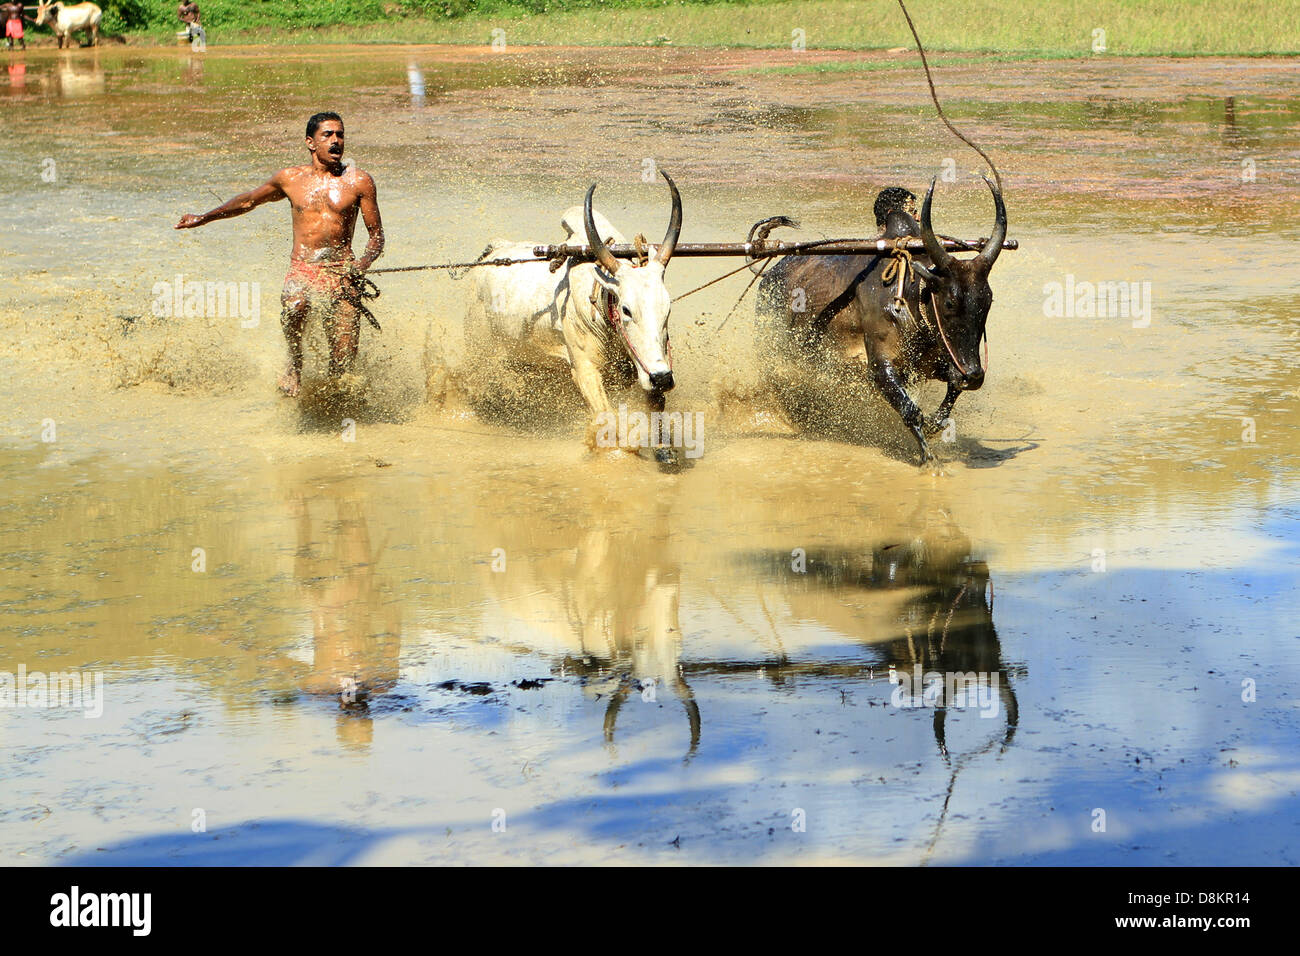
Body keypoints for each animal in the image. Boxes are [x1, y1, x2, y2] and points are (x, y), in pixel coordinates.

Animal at [466, 171, 683, 463]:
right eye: (626, 309)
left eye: (666, 308)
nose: (662, 378)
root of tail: (491, 253)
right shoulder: (585, 369)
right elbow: (607, 416)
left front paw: (664, 450)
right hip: (478, 350)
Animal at [756, 176, 1007, 468]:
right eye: (949, 302)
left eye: (987, 301)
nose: (974, 374)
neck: (911, 297)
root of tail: (769, 276)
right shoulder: (880, 366)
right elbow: (910, 410)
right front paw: (929, 459)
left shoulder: (937, 363)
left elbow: (952, 390)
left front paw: (934, 425)